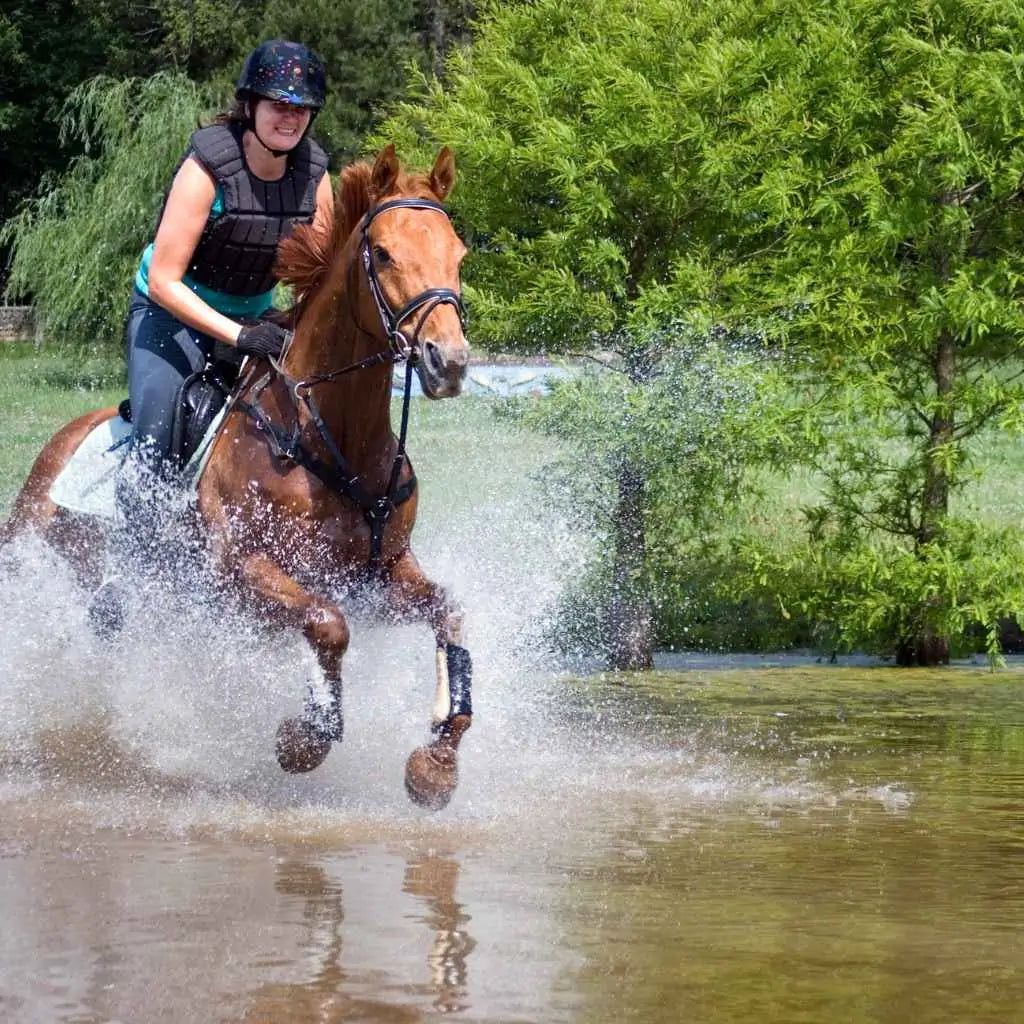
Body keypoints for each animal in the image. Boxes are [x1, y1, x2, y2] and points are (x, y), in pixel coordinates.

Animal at [1, 144, 473, 810]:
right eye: (383, 254)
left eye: (458, 253)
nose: (447, 362)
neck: (324, 436)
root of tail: (59, 441)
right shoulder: (241, 573)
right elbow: (328, 624)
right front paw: (306, 737)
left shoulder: (382, 574)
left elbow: (449, 612)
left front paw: (437, 762)